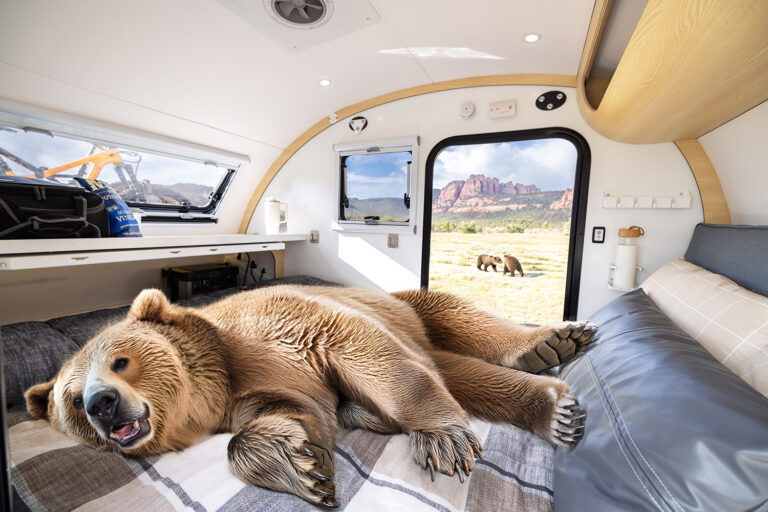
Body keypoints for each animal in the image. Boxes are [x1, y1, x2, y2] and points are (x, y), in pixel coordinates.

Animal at [25, 285, 596, 507]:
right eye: (71, 400)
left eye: (120, 360)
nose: (101, 404)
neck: (221, 374)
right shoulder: (254, 393)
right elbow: (298, 416)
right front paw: (302, 468)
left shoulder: (279, 326)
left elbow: (357, 346)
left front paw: (444, 437)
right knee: (456, 371)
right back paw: (553, 402)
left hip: (405, 308)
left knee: (453, 320)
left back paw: (552, 345)